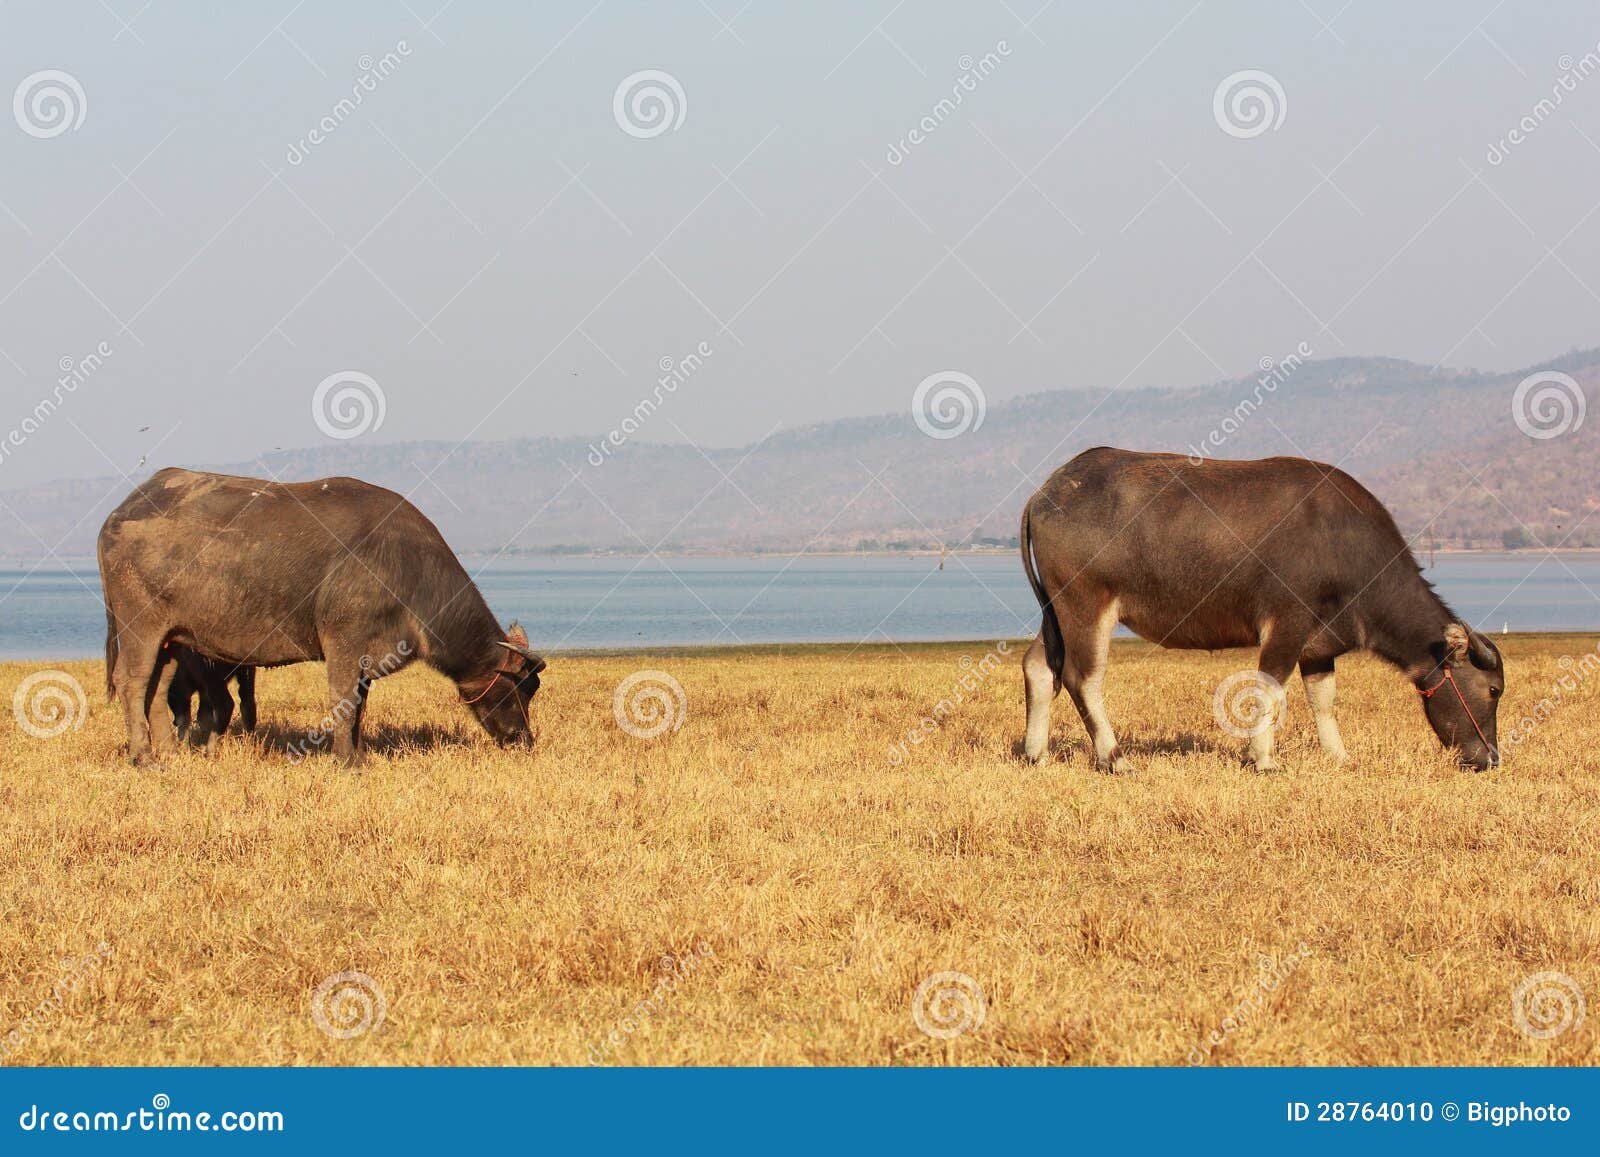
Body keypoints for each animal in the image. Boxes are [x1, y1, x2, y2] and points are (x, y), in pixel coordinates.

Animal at [99, 468, 545, 766]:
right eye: (520, 687)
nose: (522, 739)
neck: (406, 570)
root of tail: (118, 516)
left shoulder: (367, 657)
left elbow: (359, 707)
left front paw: (358, 751)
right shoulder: (343, 644)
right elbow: (343, 700)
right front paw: (346, 760)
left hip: (172, 639)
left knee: (158, 689)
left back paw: (169, 752)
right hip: (139, 627)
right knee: (132, 683)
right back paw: (143, 757)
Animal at [1020, 448, 1504, 772]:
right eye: (1495, 690)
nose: (1490, 759)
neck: (1347, 549)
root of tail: (1047, 491)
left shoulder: (1319, 646)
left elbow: (1324, 701)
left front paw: (1339, 755)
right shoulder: (1287, 623)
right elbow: (1269, 689)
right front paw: (1264, 760)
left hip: (1055, 610)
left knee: (1039, 666)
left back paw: (1035, 752)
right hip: (1085, 603)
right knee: (1083, 677)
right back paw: (1114, 758)